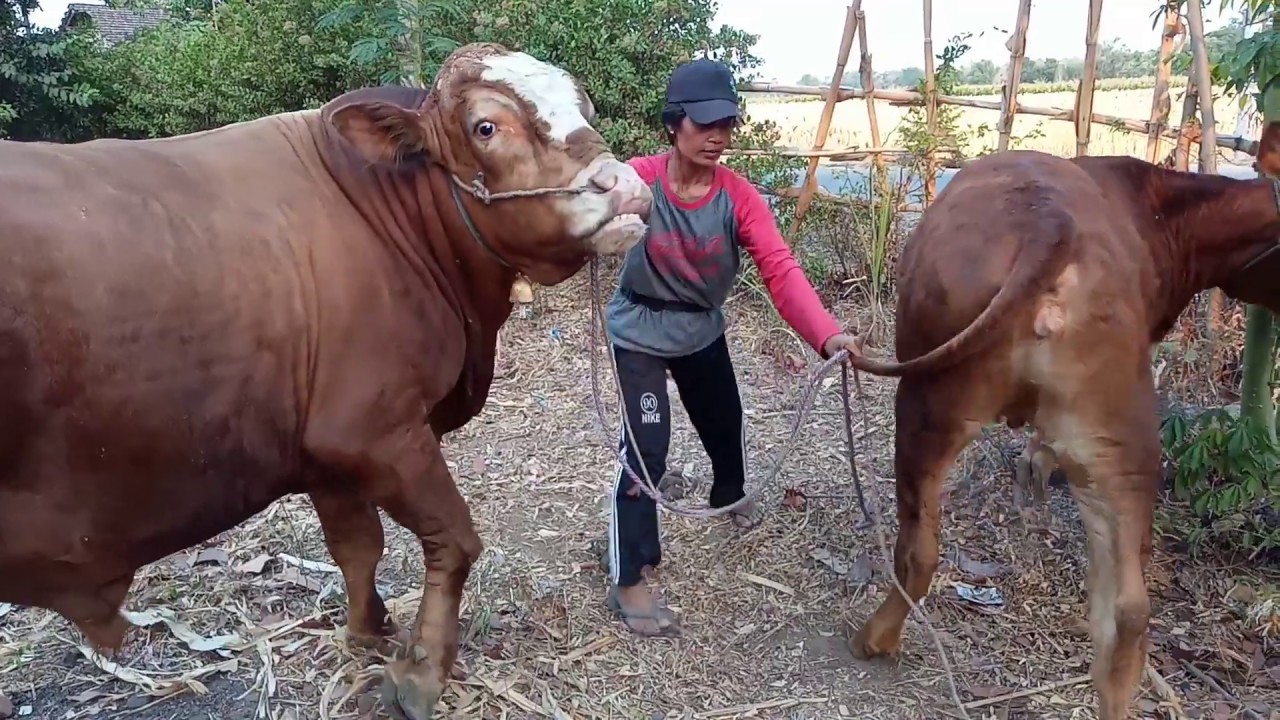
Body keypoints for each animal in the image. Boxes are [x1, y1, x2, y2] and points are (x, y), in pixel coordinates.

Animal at [0, 42, 652, 720]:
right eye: (485, 127)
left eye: (584, 106)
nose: (626, 185)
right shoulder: (374, 429)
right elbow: (454, 539)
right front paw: (421, 671)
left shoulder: (320, 449)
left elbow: (357, 544)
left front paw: (366, 630)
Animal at [841, 123, 1280, 720]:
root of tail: (1050, 224)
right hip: (1122, 444)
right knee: (1129, 612)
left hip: (925, 403)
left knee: (920, 549)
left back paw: (875, 638)